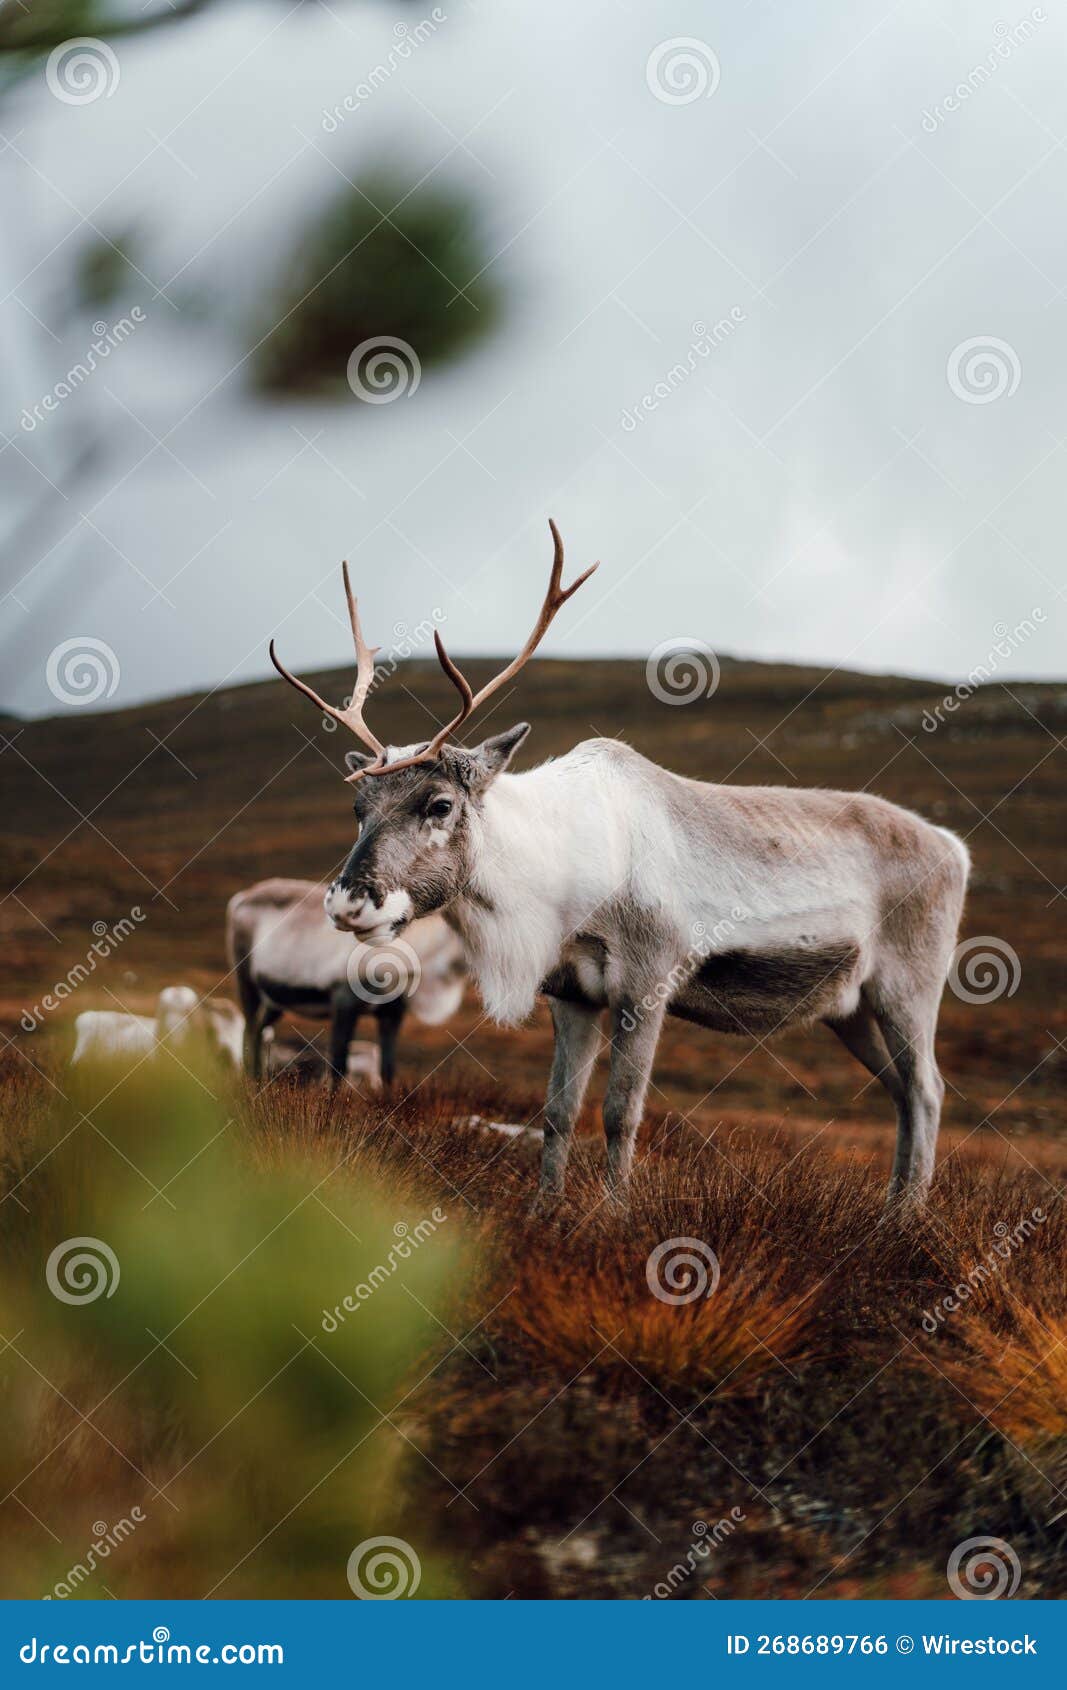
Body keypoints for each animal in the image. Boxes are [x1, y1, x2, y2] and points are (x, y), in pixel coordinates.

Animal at [269, 521, 970, 1209]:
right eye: (358, 806)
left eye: (439, 803)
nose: (347, 900)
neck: (551, 880)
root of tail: (954, 848)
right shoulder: (571, 993)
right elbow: (558, 1111)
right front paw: (547, 1212)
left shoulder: (647, 982)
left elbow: (619, 1112)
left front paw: (612, 1217)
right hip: (850, 1008)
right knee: (901, 1092)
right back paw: (889, 1211)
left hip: (908, 987)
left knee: (928, 1089)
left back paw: (908, 1218)